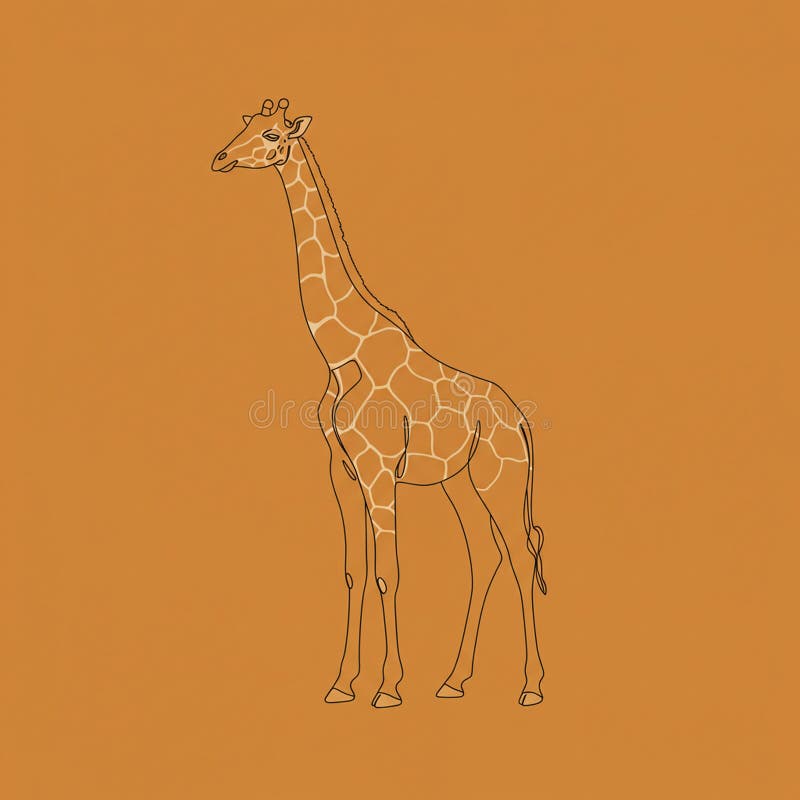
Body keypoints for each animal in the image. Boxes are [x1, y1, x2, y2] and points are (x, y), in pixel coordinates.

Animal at [212, 97, 548, 708]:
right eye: (244, 123)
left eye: (271, 135)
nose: (220, 157)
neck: (339, 350)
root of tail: (520, 421)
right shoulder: (341, 470)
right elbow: (354, 571)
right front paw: (343, 683)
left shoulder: (378, 469)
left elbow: (388, 571)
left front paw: (388, 687)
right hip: (459, 483)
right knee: (486, 555)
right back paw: (453, 680)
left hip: (500, 479)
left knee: (521, 553)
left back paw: (531, 686)